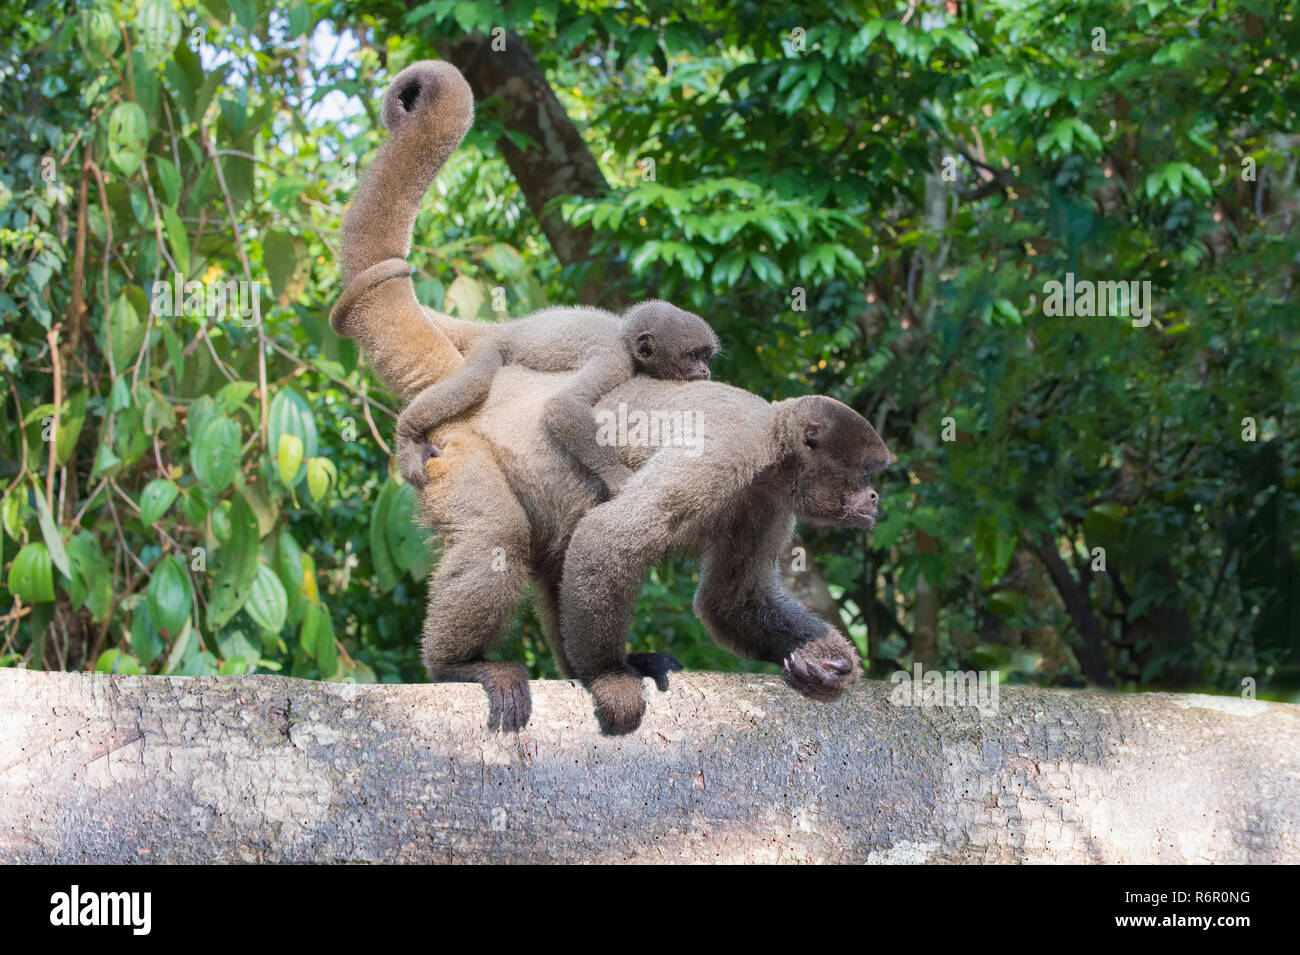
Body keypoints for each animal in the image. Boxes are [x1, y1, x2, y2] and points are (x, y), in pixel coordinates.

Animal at [391, 298, 719, 496]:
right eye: (693, 355)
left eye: (706, 356)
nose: (706, 370)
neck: (626, 340)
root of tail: (506, 327)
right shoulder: (615, 359)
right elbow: (563, 406)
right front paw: (617, 476)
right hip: (489, 347)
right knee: (475, 382)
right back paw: (407, 436)